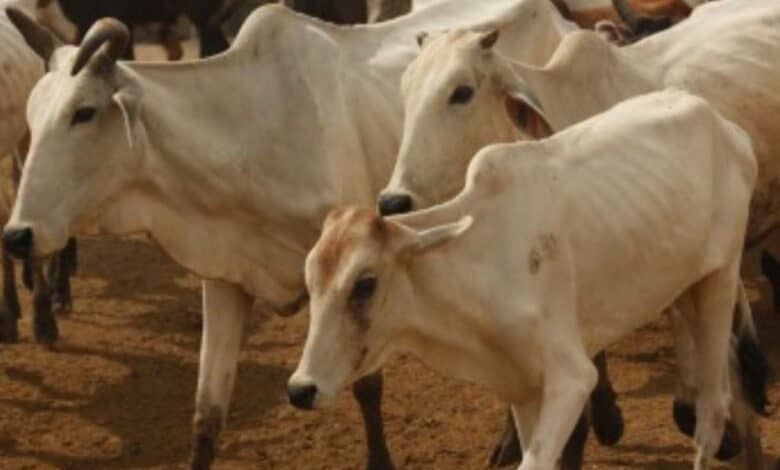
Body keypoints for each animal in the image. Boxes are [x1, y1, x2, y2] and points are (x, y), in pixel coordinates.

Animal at [3, 0, 574, 467]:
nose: (17, 236)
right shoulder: (225, 278)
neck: (251, 135)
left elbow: (367, 387)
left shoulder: (362, 269)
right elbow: (207, 416)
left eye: (83, 113)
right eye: (32, 113)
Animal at [289, 89, 758, 470]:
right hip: (681, 289)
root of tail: (728, 128)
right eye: (311, 283)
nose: (300, 389)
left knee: (711, 413)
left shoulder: (571, 378)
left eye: (365, 283)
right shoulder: (521, 386)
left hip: (720, 280)